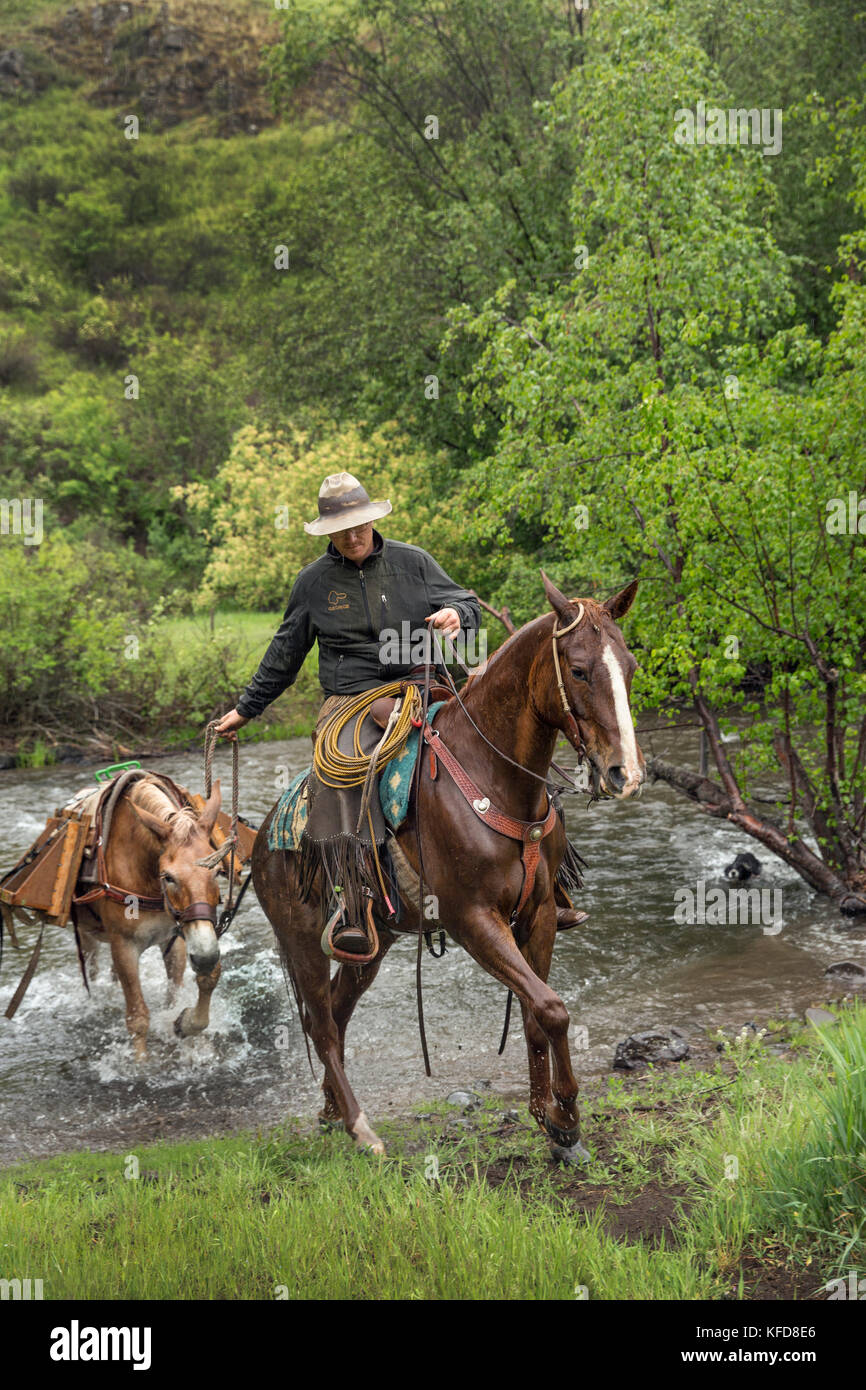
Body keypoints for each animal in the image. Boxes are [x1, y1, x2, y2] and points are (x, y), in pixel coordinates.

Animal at [73, 778, 226, 1060]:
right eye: (168, 877)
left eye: (219, 871)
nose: (206, 957)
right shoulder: (124, 945)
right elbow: (138, 1018)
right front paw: (140, 1065)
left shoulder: (177, 936)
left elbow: (188, 992)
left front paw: (184, 1024)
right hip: (86, 935)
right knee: (93, 967)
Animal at [251, 573, 645, 1159]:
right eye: (577, 669)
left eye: (630, 666)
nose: (626, 773)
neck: (493, 779)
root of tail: (259, 836)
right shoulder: (472, 921)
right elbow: (552, 1008)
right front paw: (567, 1117)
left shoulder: (540, 915)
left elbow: (536, 1015)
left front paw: (549, 1120)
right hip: (301, 941)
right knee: (319, 1023)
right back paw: (360, 1127)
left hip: (371, 945)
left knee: (338, 1014)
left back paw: (330, 1111)